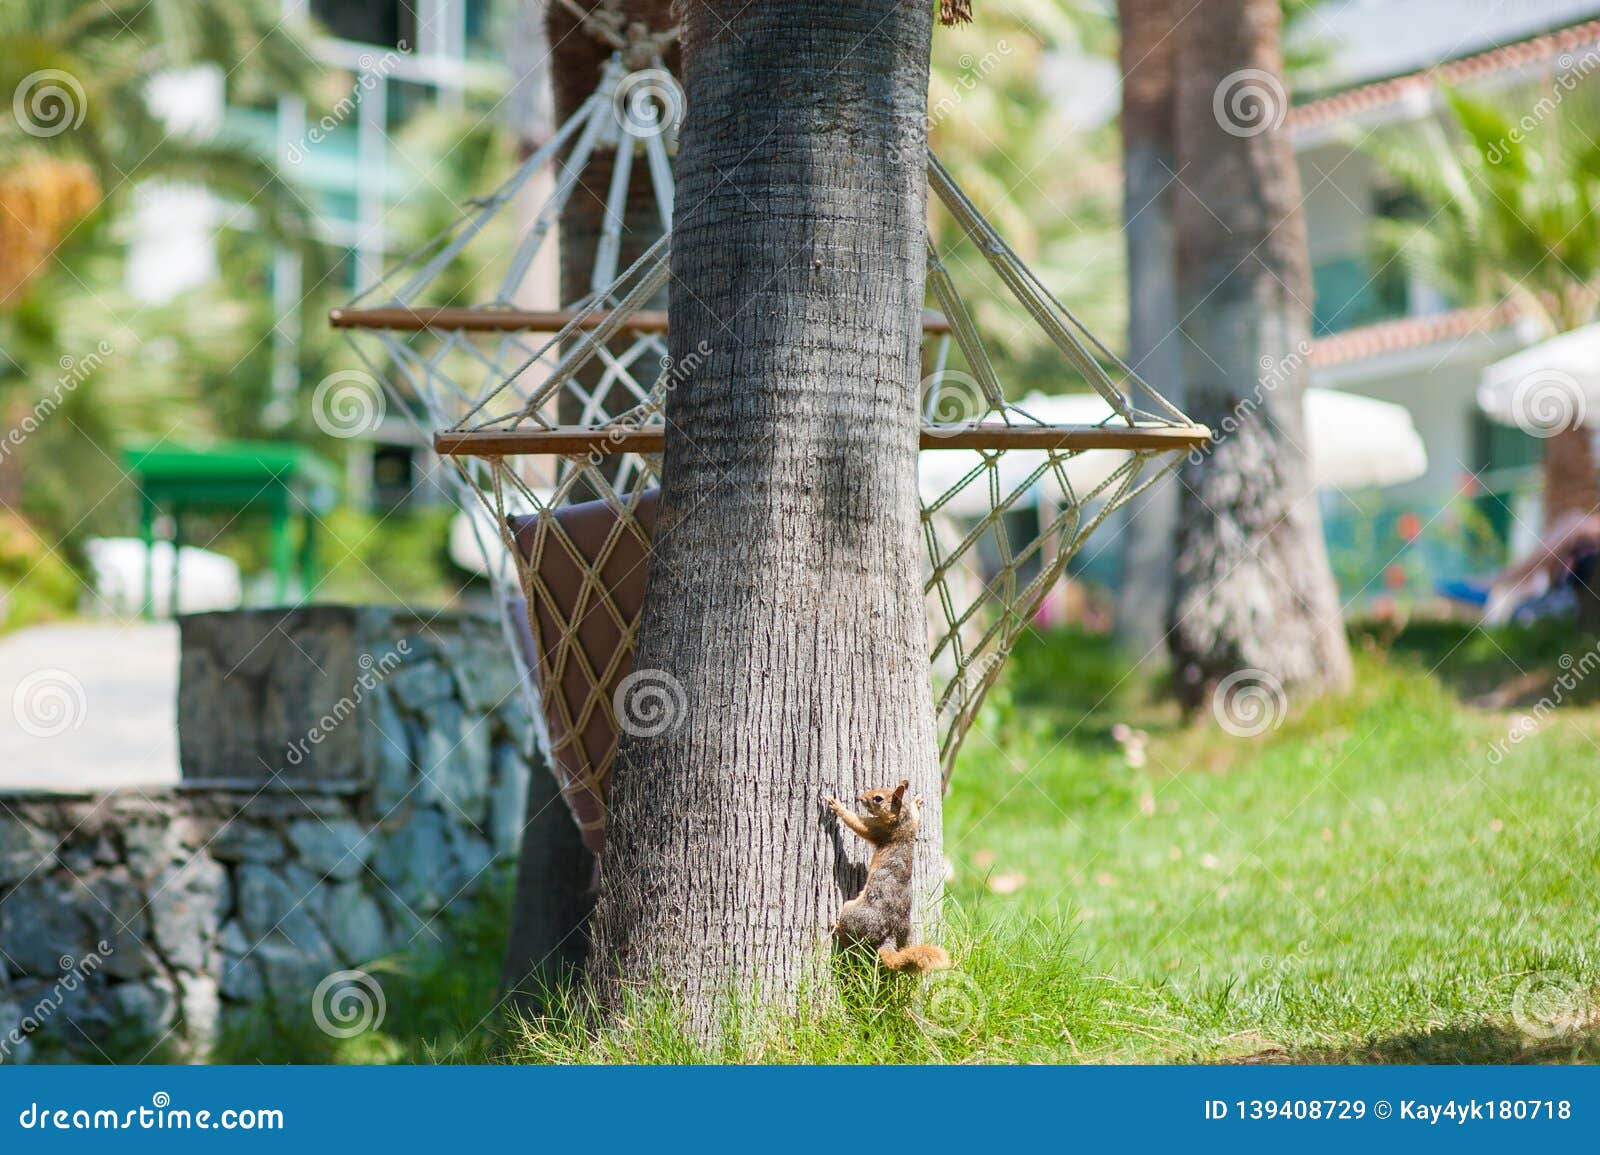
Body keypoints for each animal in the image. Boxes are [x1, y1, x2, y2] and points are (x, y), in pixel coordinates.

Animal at [824, 780, 952, 973]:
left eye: (878, 798)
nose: (860, 798)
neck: (902, 820)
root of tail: (889, 935)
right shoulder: (912, 824)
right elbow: (917, 817)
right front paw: (916, 802)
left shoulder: (878, 829)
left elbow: (857, 823)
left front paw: (837, 806)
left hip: (852, 911)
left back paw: (836, 928)